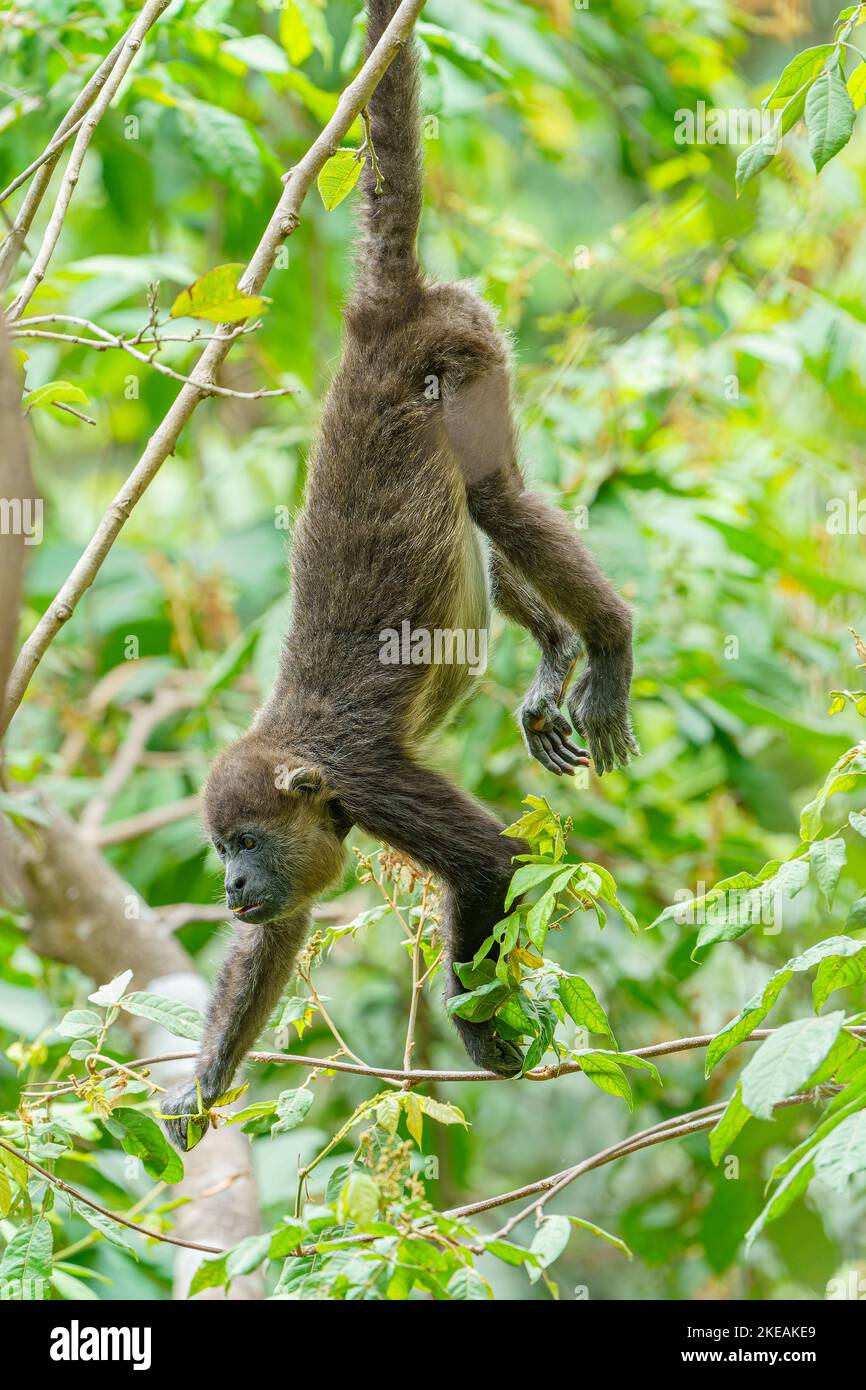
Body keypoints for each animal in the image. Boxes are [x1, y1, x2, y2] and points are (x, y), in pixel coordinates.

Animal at [161, 0, 638, 1151]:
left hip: (461, 351)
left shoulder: (369, 780)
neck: (304, 760)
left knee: (500, 495)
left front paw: (475, 1027)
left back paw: (603, 648)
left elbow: (490, 861)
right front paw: (204, 1082)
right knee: (492, 523)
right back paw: (554, 653)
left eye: (243, 840)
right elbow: (280, 931)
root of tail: (377, 320)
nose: (231, 884)